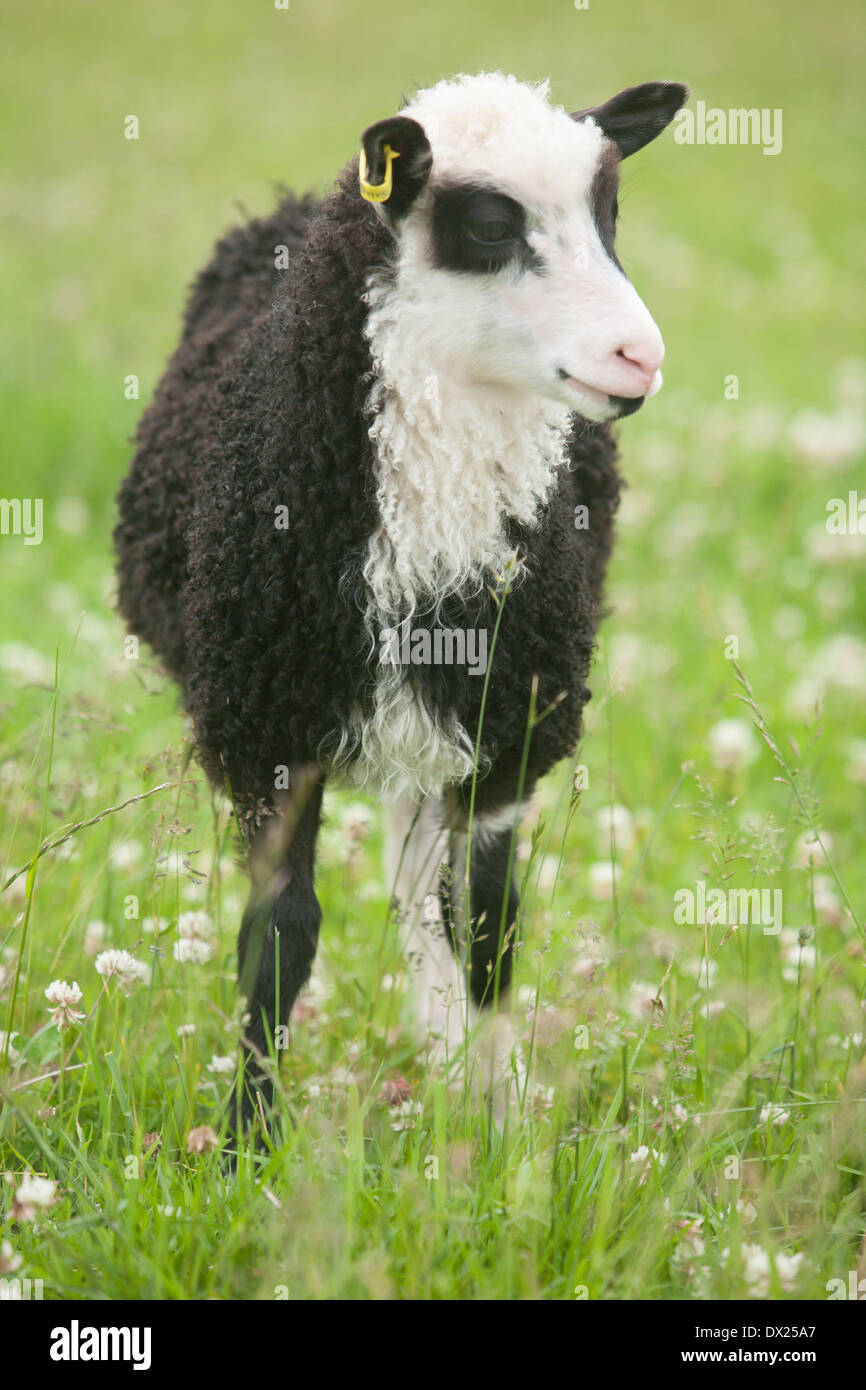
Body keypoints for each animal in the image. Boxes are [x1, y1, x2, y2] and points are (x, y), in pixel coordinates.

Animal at [114, 72, 688, 1130]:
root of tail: (287, 201)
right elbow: (280, 932)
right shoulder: (265, 730)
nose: (639, 356)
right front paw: (248, 1140)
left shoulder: (507, 731)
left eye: (610, 214)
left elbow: (486, 924)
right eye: (491, 225)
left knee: (426, 893)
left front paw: (499, 1128)